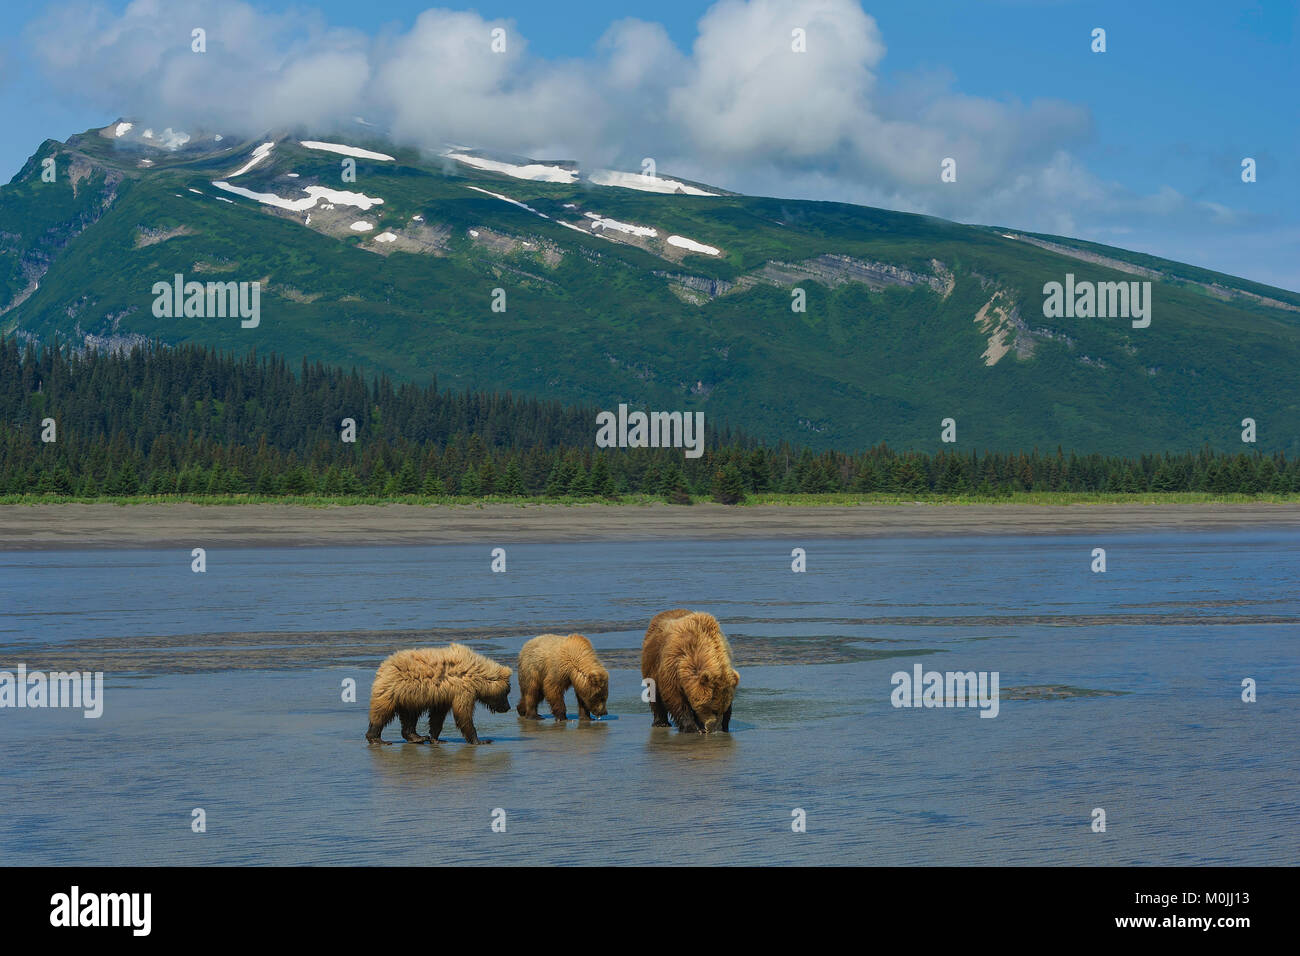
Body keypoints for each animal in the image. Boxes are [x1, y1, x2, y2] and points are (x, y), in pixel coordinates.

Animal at [365, 643, 512, 745]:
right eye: (507, 691)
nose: (508, 707)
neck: (476, 675)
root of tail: (384, 665)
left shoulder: (444, 695)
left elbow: (437, 716)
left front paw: (436, 738)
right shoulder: (463, 690)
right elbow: (463, 714)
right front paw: (481, 740)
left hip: (409, 697)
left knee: (410, 716)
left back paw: (417, 737)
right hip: (393, 690)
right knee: (382, 713)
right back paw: (377, 738)